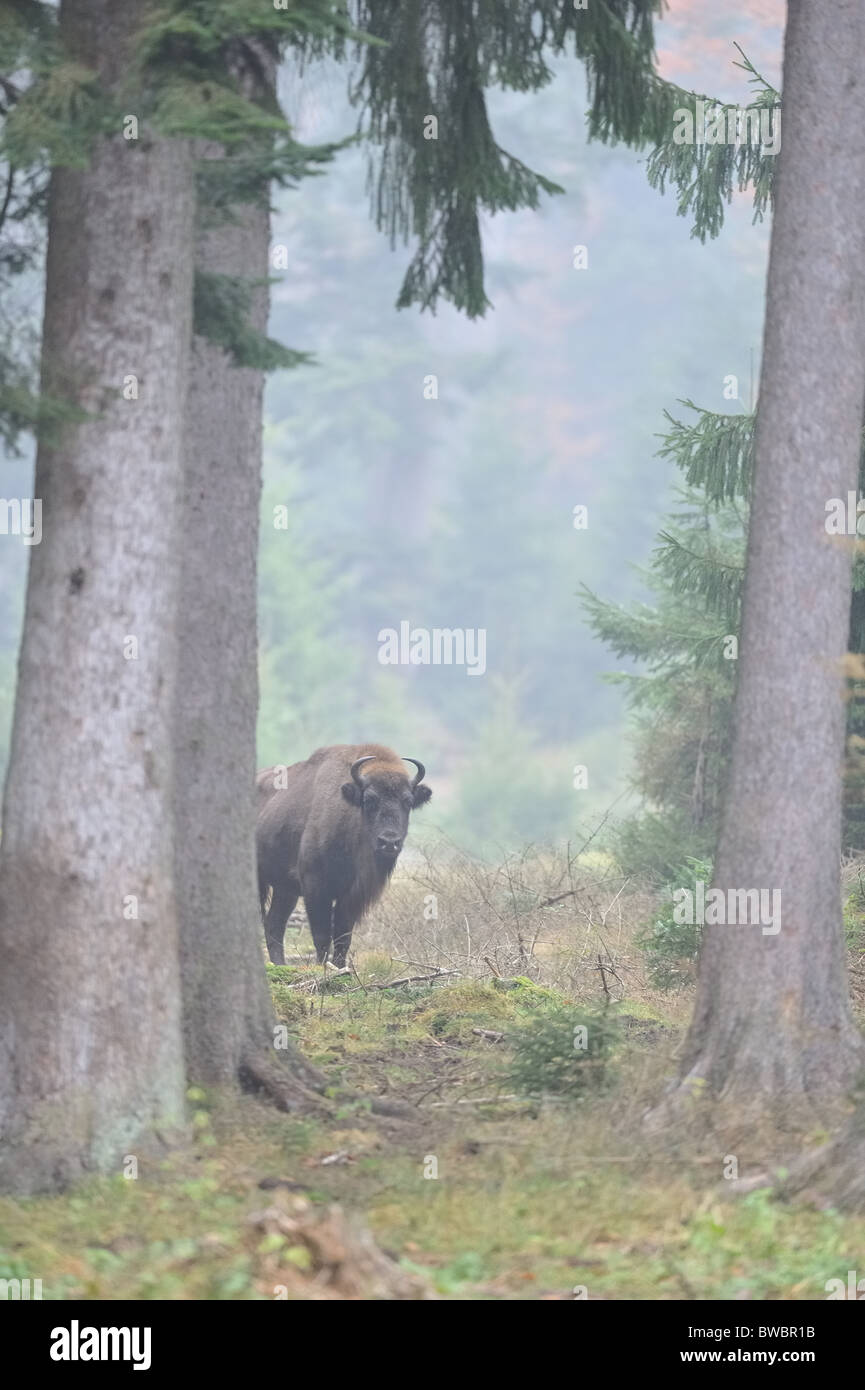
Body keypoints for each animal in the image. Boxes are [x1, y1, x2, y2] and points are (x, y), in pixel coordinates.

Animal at [256, 744, 432, 968]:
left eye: (408, 801)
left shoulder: (351, 896)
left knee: (274, 924)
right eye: (369, 799)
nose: (389, 842)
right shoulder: (315, 888)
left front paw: (340, 966)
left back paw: (280, 964)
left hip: (285, 889)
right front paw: (323, 967)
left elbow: (343, 935)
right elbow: (322, 934)